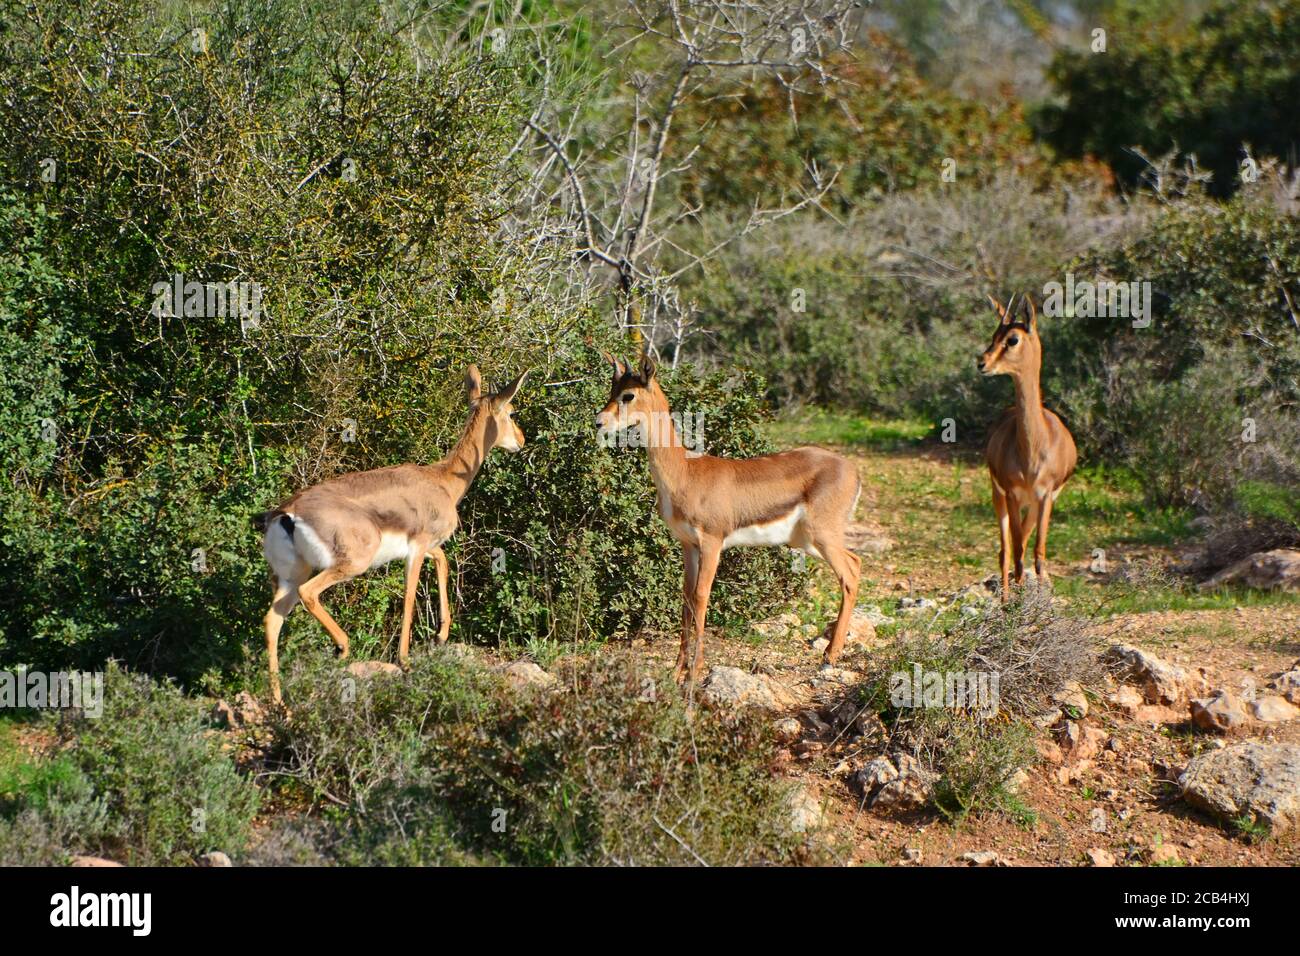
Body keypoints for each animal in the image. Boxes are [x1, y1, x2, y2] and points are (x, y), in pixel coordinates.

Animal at [255, 366, 528, 702]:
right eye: (511, 412)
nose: (521, 439)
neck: (443, 480)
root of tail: (286, 514)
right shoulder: (417, 548)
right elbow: (410, 595)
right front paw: (406, 659)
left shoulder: (427, 546)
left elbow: (443, 561)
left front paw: (441, 634)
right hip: (347, 565)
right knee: (309, 594)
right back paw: (342, 648)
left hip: (289, 578)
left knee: (272, 620)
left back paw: (281, 704)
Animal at [595, 354, 862, 683]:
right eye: (612, 389)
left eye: (628, 395)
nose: (599, 422)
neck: (686, 472)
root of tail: (852, 469)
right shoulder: (688, 545)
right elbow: (686, 599)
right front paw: (677, 670)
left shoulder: (712, 542)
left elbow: (701, 597)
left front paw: (695, 671)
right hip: (807, 541)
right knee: (856, 563)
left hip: (822, 536)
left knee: (848, 576)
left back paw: (829, 659)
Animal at [979, 294, 1077, 599]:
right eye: (993, 335)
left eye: (1012, 339)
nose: (982, 362)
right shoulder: (1011, 493)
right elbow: (1018, 551)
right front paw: (1015, 603)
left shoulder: (1046, 497)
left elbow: (1038, 552)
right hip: (999, 496)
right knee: (1006, 551)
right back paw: (1006, 597)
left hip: (1032, 504)